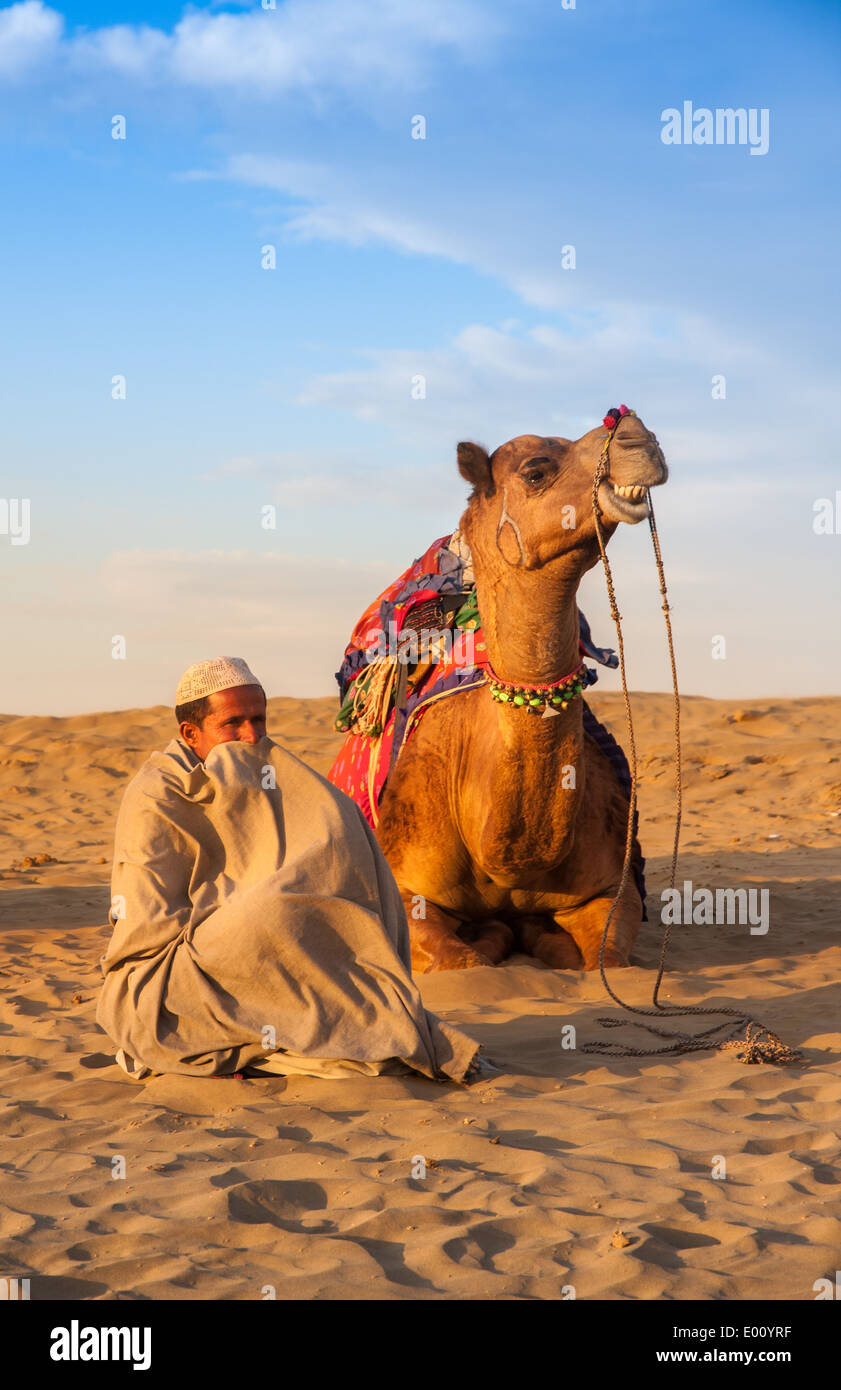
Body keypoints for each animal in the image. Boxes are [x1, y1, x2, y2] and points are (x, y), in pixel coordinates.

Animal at [374, 411, 669, 973]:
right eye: (536, 471)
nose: (637, 434)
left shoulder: (610, 889)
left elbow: (609, 960)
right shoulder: (404, 884)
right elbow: (463, 963)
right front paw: (493, 939)